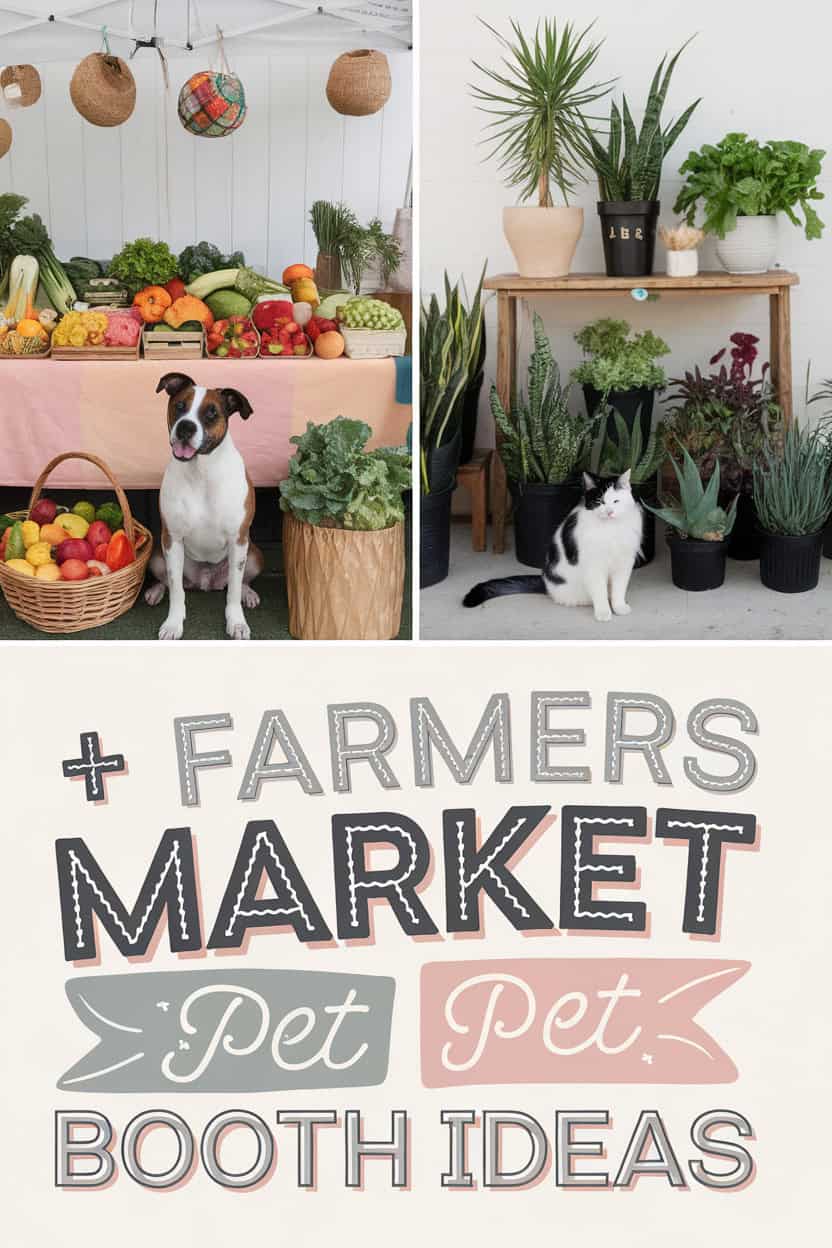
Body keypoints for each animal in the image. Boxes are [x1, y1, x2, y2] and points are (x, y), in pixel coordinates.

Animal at [144, 369, 263, 643]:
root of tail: (205, 582)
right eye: (179, 406)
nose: (186, 427)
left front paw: (237, 622)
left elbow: (232, 593)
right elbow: (176, 590)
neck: (201, 471)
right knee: (168, 581)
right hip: (158, 556)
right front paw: (173, 623)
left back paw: (248, 593)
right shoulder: (172, 540)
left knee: (240, 581)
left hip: (253, 554)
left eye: (211, 413)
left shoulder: (238, 540)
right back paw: (156, 591)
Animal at [461, 469, 643, 624]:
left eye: (616, 501)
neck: (611, 529)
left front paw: (619, 607)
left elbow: (619, 589)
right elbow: (599, 592)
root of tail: (545, 581)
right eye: (599, 502)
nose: (610, 512)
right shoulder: (594, 566)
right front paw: (604, 612)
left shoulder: (624, 563)